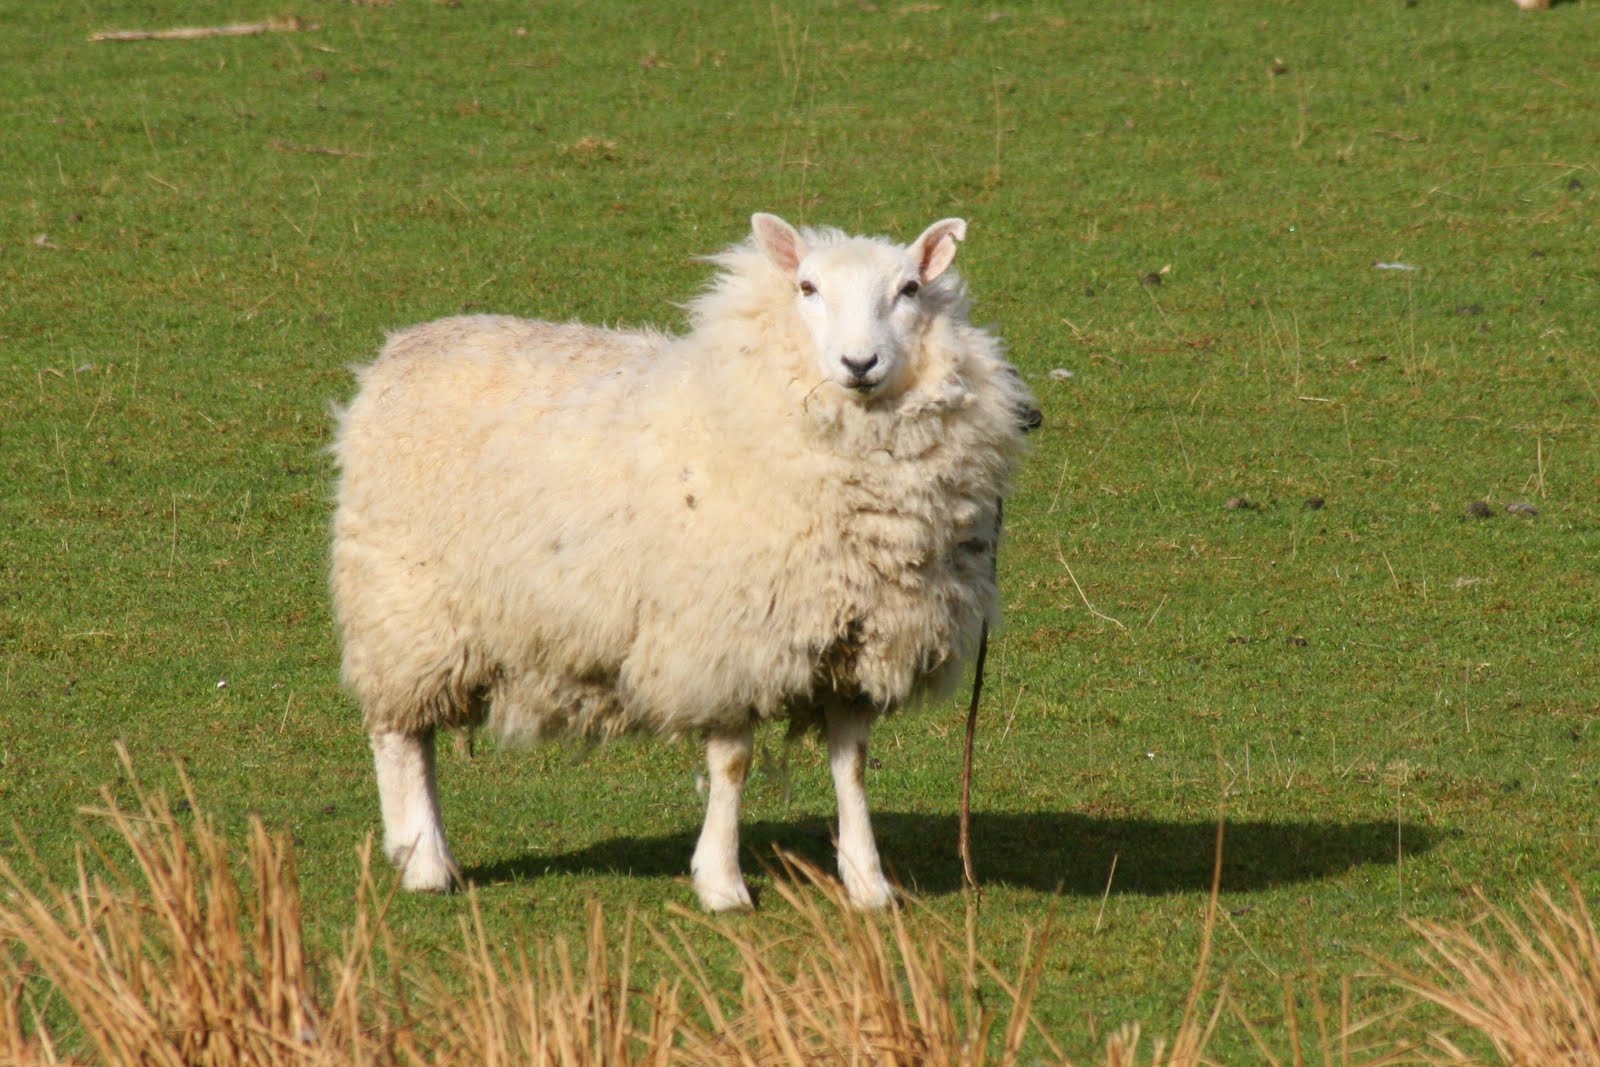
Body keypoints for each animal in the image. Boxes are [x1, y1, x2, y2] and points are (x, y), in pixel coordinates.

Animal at [329, 213, 1034, 911]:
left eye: (910, 289)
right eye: (806, 288)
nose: (859, 362)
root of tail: (402, 347)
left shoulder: (859, 644)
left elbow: (852, 764)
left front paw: (868, 883)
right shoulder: (725, 641)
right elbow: (732, 764)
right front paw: (722, 884)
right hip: (405, 605)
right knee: (401, 738)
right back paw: (424, 860)